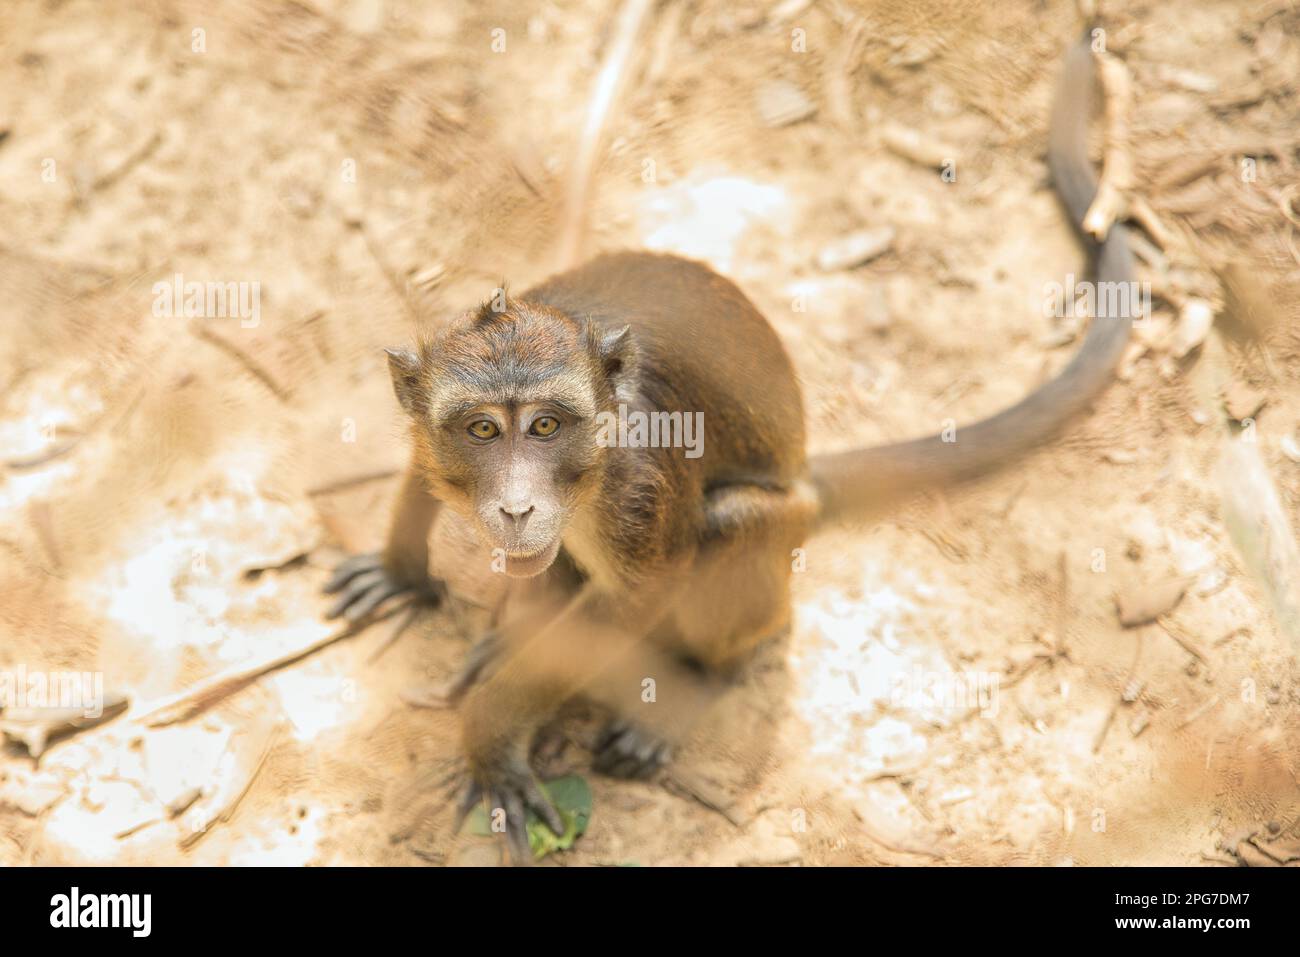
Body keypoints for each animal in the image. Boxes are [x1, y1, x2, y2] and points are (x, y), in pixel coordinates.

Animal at [323, 32, 1135, 863]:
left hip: (778, 537)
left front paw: (491, 739)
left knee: (730, 526)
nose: (517, 505)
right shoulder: (437, 435)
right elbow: (420, 474)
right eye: (482, 429)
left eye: (547, 426)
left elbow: (633, 600)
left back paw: (689, 683)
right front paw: (401, 572)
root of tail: (809, 481)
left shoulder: (635, 492)